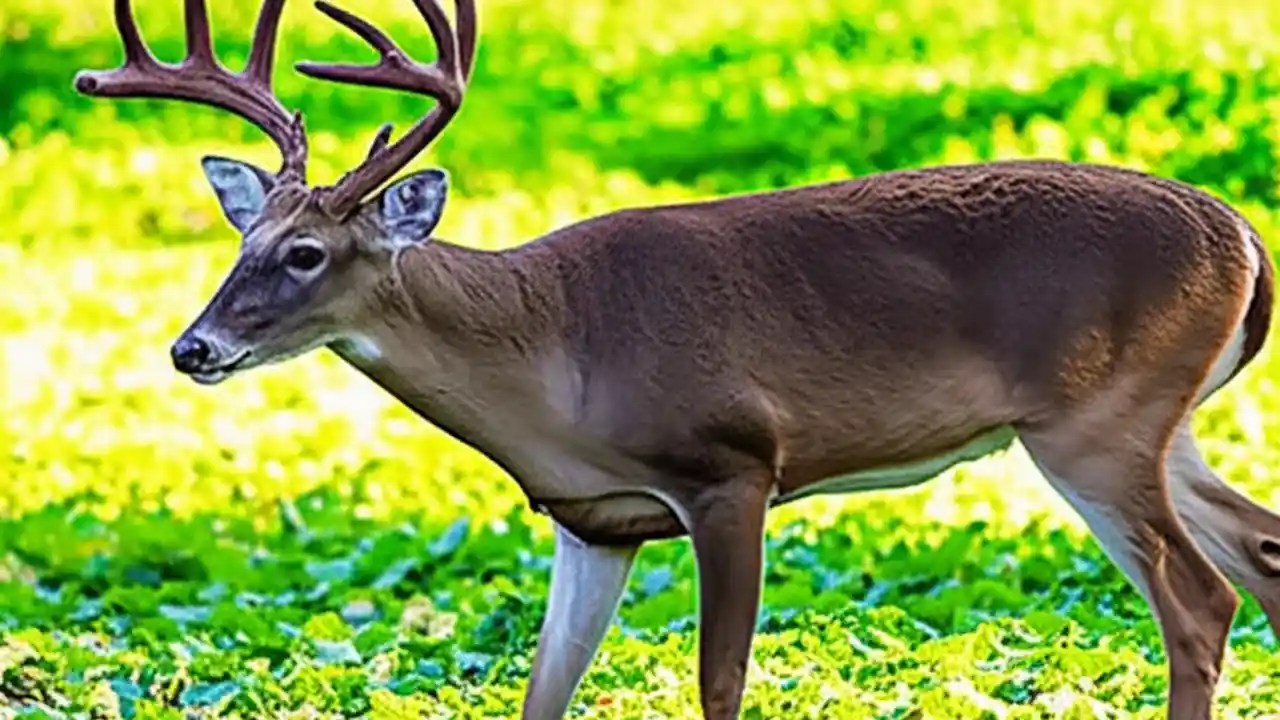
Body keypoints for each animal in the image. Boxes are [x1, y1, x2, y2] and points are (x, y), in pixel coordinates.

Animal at [73, 0, 1277, 717]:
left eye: (306, 252)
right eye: (241, 241)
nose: (192, 347)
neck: (553, 352)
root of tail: (1241, 234)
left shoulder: (731, 467)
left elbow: (719, 683)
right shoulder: (591, 522)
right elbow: (541, 693)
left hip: (1094, 425)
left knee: (1197, 601)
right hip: (1156, 424)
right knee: (1257, 555)